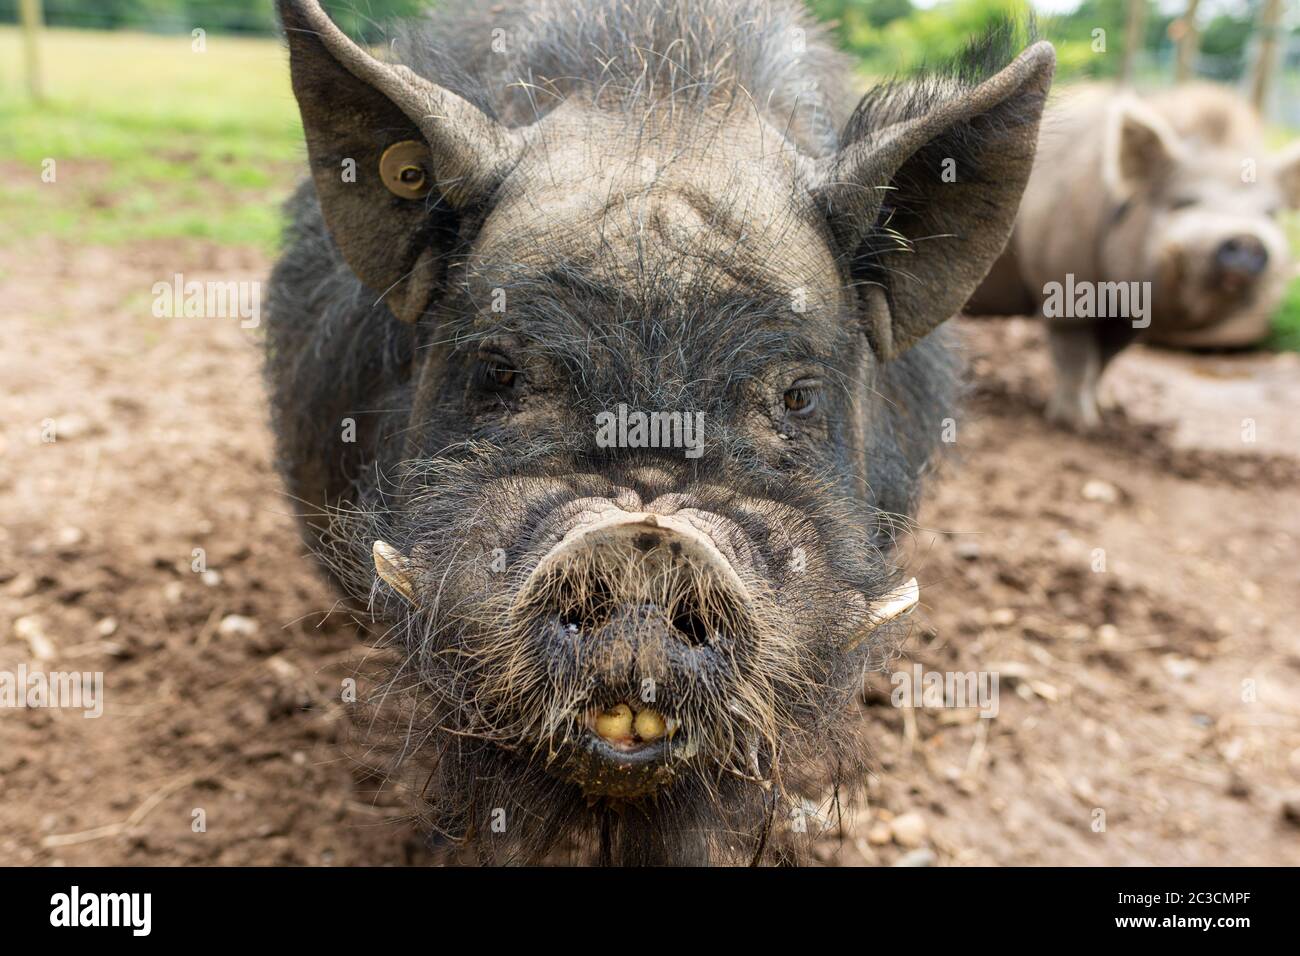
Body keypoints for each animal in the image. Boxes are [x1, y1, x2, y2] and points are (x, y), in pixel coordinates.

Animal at [967, 83, 1300, 429]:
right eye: (1183, 202)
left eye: (1271, 214)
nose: (1247, 239)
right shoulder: (1063, 286)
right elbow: (1075, 355)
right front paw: (1079, 425)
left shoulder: (1128, 316)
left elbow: (1106, 358)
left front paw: (1106, 409)